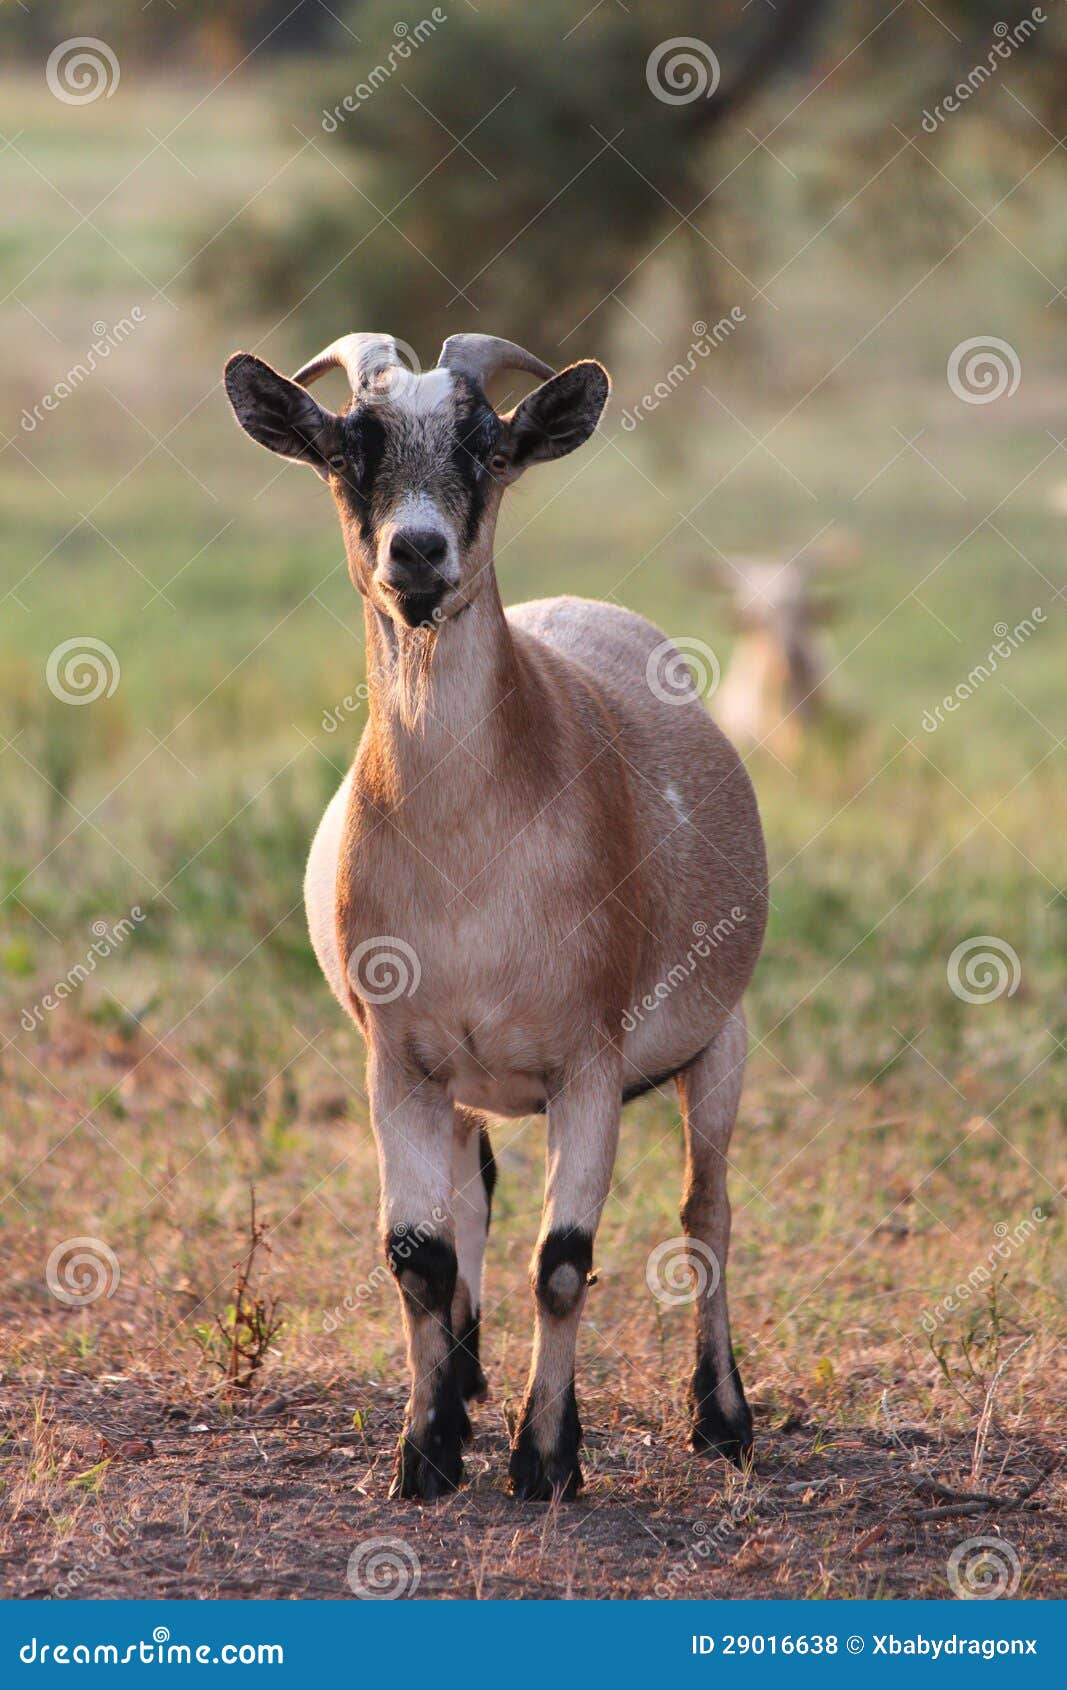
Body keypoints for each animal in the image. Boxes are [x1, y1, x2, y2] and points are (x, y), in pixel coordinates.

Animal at [224, 332, 768, 1501]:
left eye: (487, 447)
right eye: (349, 448)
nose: (418, 552)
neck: (473, 848)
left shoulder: (588, 1060)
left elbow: (563, 1261)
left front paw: (546, 1458)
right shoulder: (399, 1057)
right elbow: (416, 1256)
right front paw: (426, 1449)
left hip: (721, 1036)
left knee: (706, 1211)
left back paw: (723, 1419)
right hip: (461, 1079)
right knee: (472, 1191)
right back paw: (469, 1382)